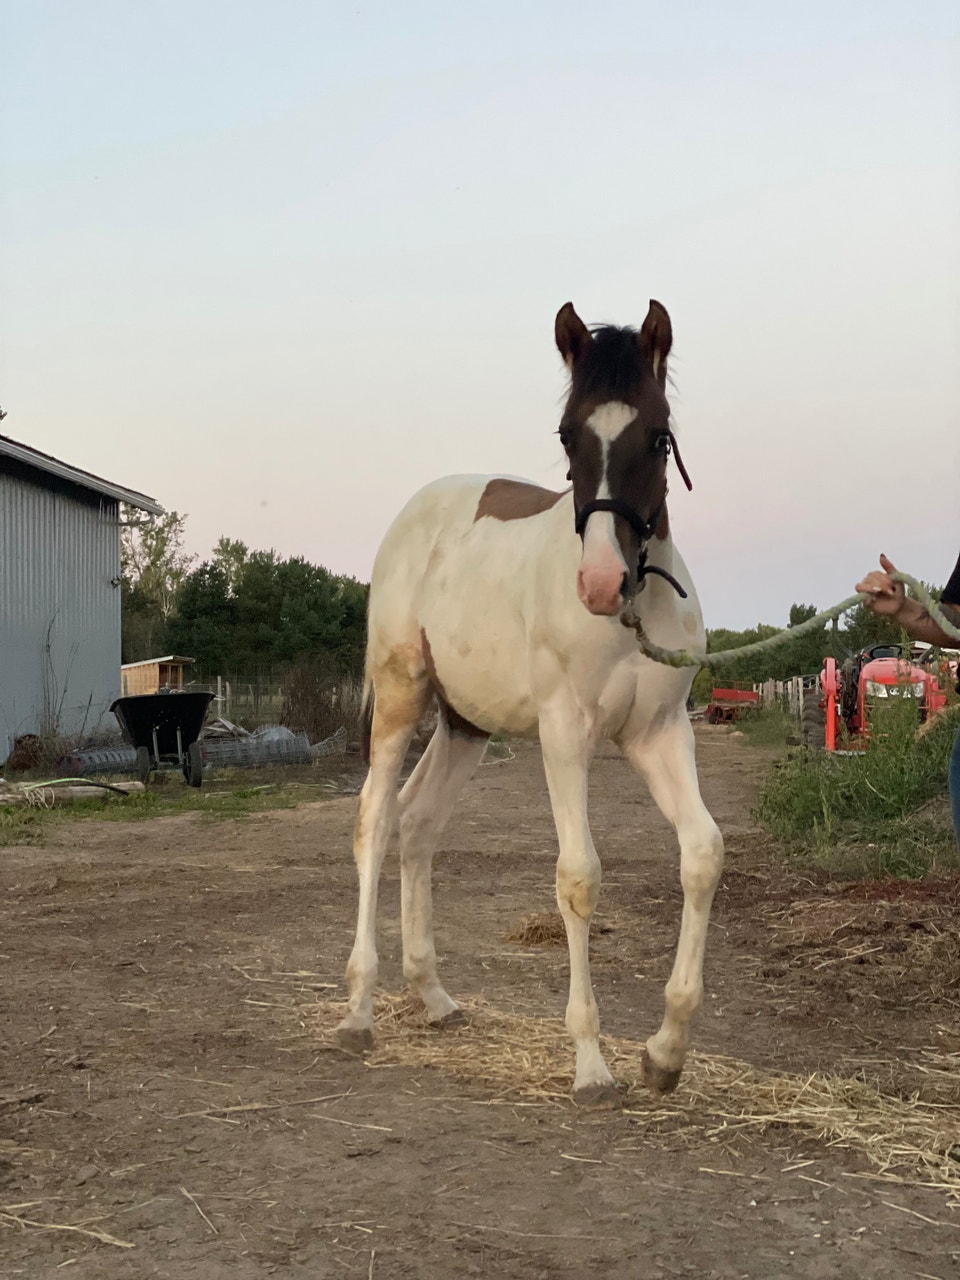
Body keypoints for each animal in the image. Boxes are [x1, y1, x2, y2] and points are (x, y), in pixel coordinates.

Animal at [336, 300, 724, 1105]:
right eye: (567, 436)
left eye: (659, 434)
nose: (601, 584)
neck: (632, 616)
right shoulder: (564, 731)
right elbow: (579, 877)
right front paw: (592, 1064)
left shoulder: (661, 733)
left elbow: (702, 853)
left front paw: (665, 1053)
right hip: (401, 698)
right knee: (374, 820)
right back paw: (358, 1010)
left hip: (463, 723)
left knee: (418, 824)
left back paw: (434, 996)